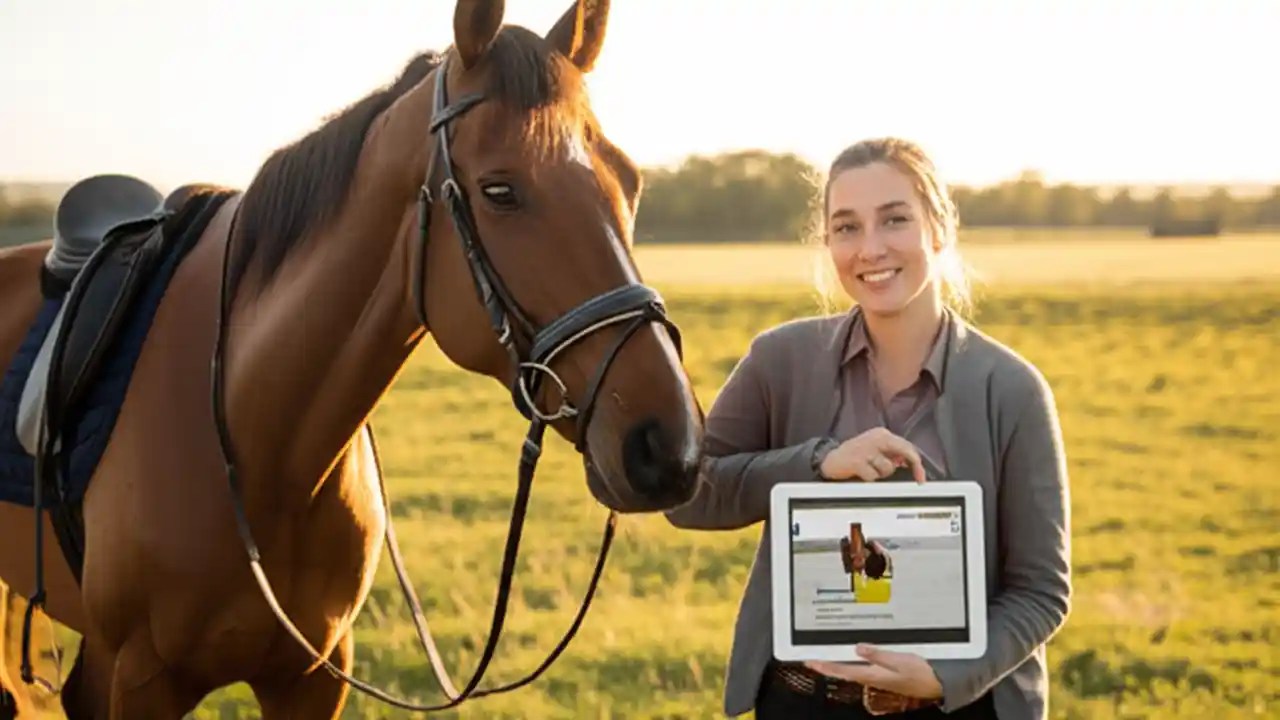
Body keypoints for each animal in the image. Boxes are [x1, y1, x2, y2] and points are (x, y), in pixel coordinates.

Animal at [0, 0, 705, 716]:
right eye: (500, 190)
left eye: (631, 182)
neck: (259, 439)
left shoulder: (314, 675)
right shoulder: (136, 678)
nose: (666, 444)